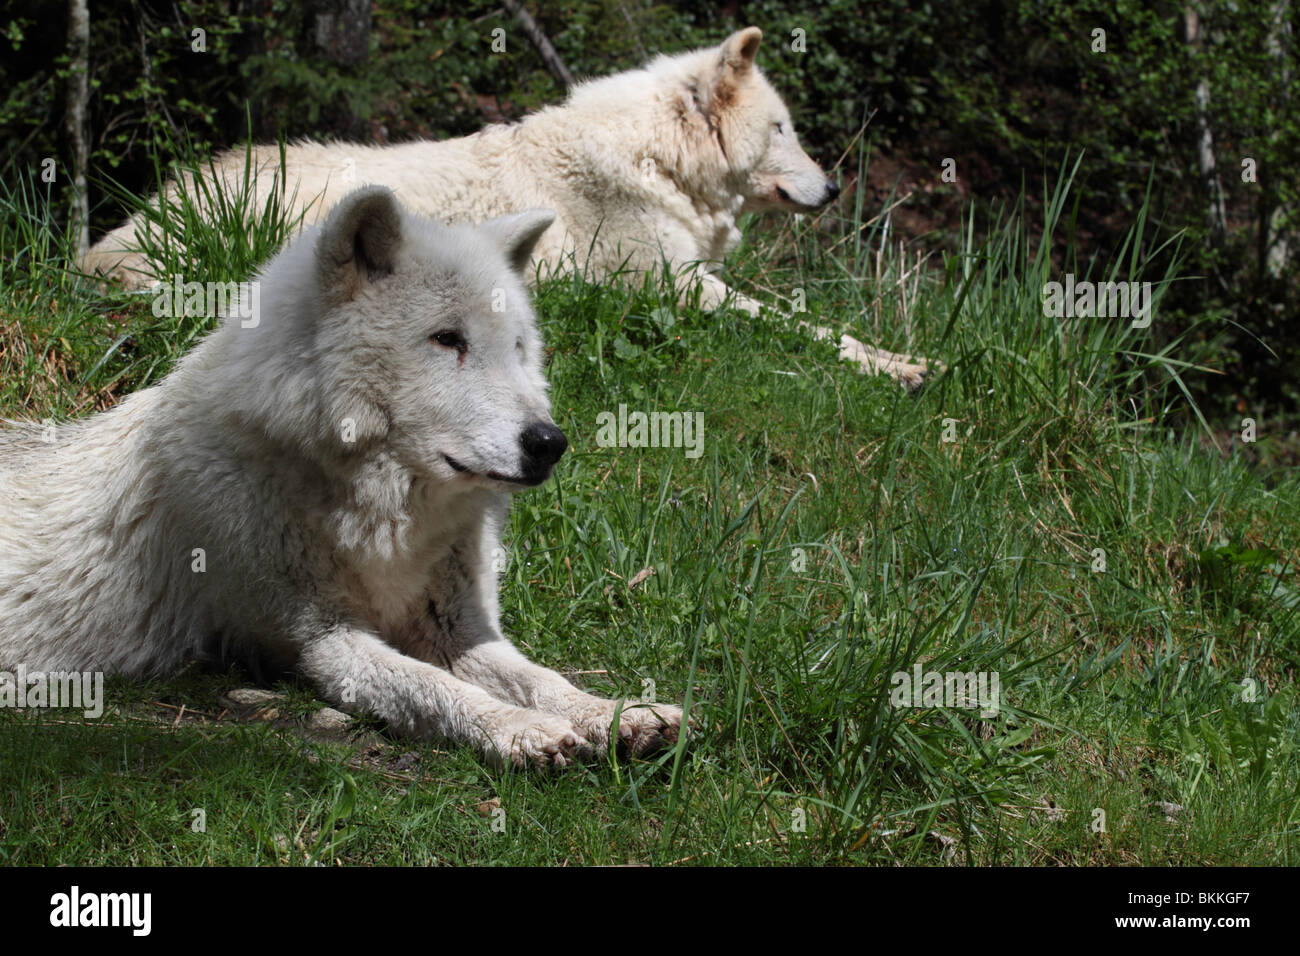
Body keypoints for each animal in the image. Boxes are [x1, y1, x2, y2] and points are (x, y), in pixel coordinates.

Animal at [2, 186, 682, 768]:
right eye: (447, 339)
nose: (549, 443)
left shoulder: (455, 625)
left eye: (516, 347)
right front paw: (521, 730)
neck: (383, 513)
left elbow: (539, 676)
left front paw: (617, 713)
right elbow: (432, 687)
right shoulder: (322, 642)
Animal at [83, 27, 935, 388]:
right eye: (784, 128)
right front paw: (900, 366)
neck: (655, 155)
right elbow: (803, 326)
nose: (834, 189)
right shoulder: (677, 288)